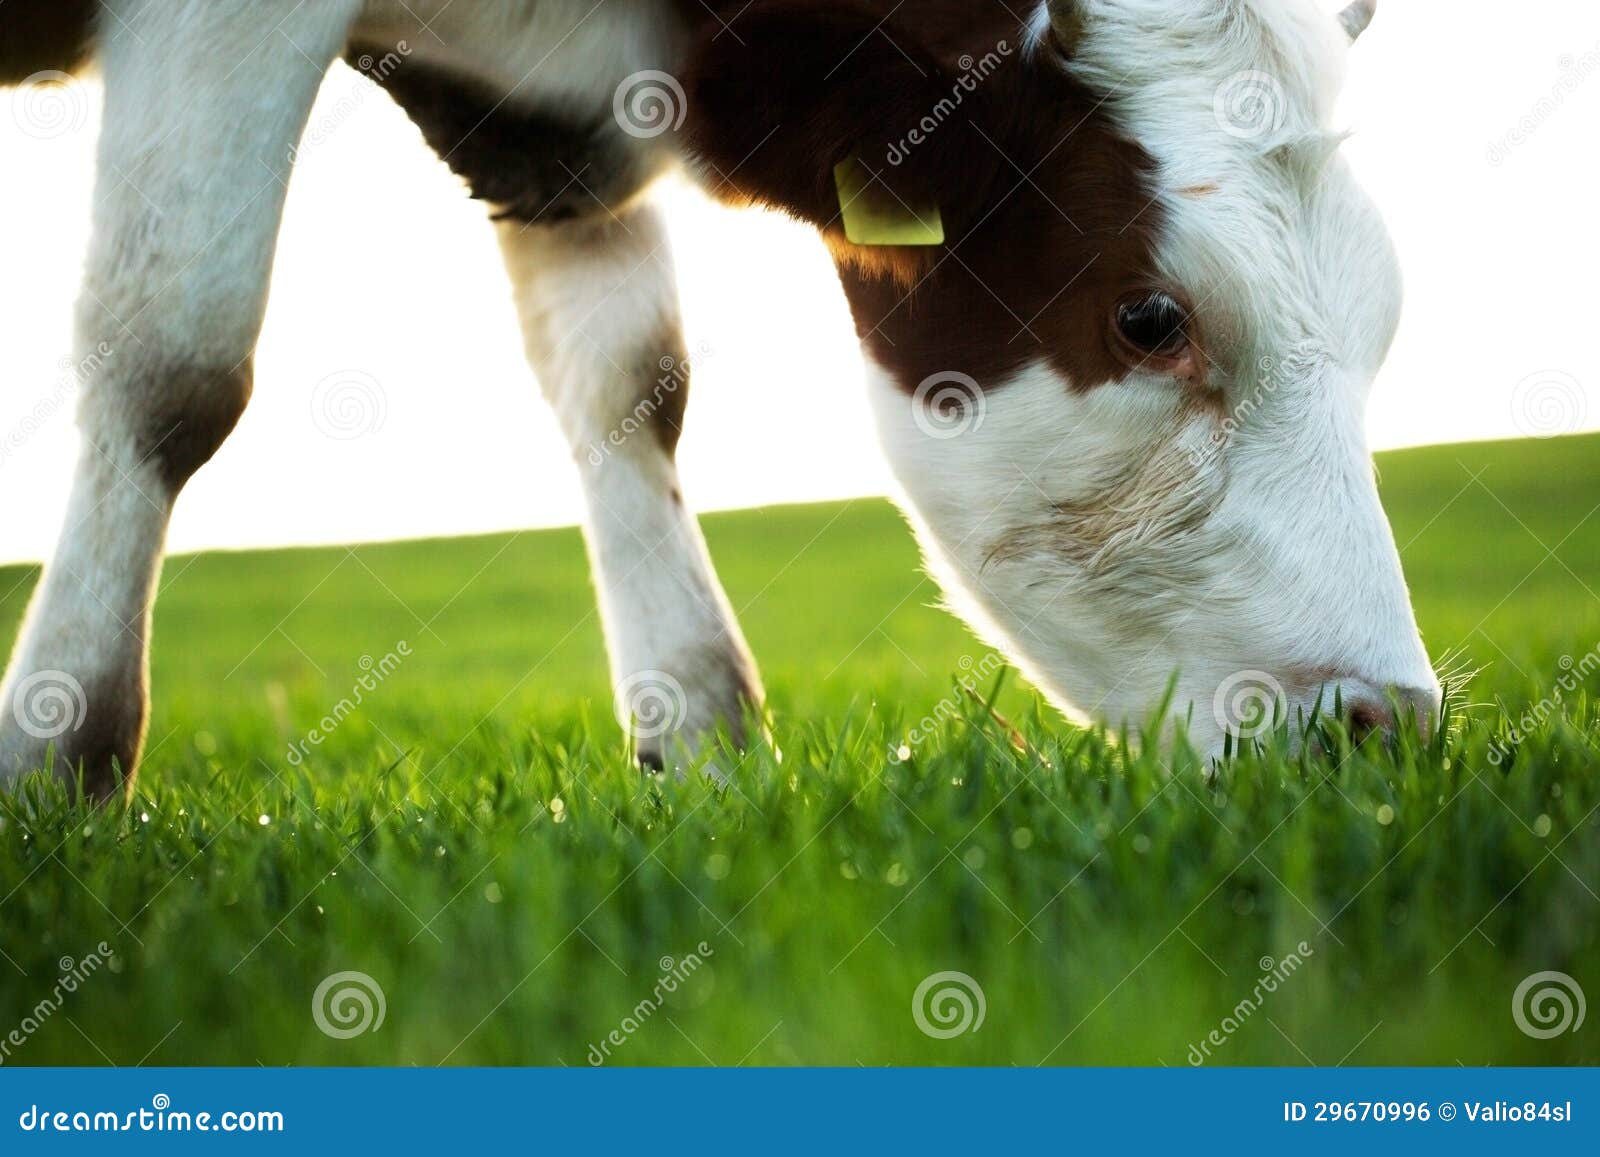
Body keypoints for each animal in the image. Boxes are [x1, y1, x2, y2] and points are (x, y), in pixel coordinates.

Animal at [0, 0, 1439, 798]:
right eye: (1149, 318)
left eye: (1384, 324)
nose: (1384, 725)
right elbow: (174, 361)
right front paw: (57, 760)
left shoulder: (544, 125)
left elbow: (631, 380)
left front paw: (698, 734)